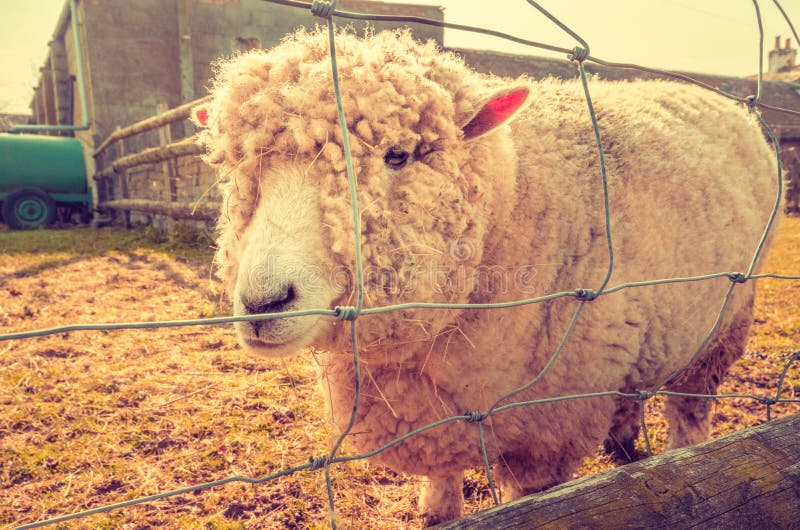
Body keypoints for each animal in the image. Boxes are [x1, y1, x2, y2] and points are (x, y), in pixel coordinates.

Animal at [195, 28, 778, 525]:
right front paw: (437, 511)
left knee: (690, 411)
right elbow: (441, 489)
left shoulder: (544, 436)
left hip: (724, 324)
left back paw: (682, 461)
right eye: (234, 167)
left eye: (398, 155)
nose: (263, 302)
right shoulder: (432, 416)